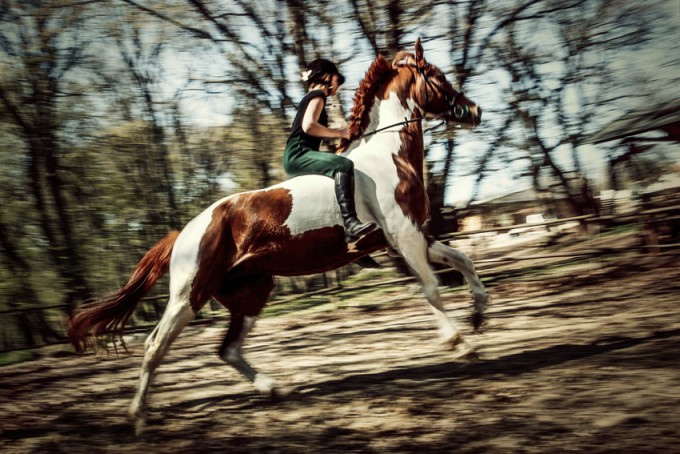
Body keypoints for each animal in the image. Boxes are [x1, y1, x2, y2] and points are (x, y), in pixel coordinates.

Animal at [68, 39, 488, 433]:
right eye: (437, 77)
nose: (476, 112)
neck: (386, 157)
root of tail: (183, 233)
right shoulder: (403, 237)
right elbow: (431, 288)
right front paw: (460, 344)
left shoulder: (413, 235)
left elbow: (463, 260)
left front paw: (479, 314)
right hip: (191, 293)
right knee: (156, 344)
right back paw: (138, 417)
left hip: (251, 292)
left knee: (228, 350)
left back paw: (274, 388)